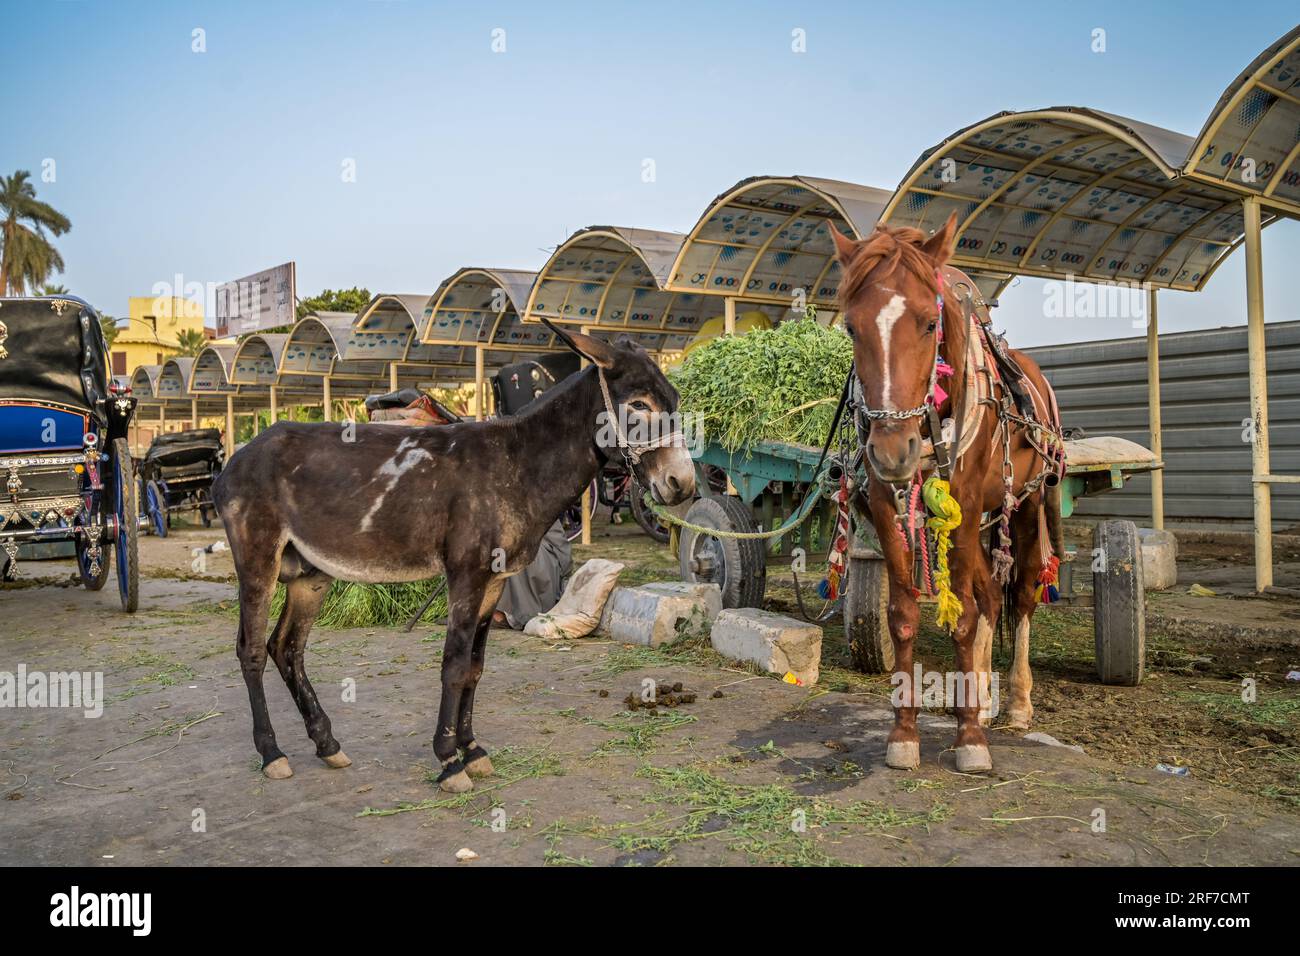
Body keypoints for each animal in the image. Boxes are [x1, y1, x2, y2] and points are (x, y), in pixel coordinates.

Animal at [212, 328, 696, 792]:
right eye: (639, 405)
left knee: (287, 647)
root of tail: (240, 455)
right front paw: (448, 761)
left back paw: (327, 743)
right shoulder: (466, 573)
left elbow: (475, 668)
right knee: (251, 649)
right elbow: (454, 665)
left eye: (673, 400)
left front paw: (472, 749)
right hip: (258, 559)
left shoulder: (495, 580)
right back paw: (272, 753)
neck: (517, 461)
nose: (683, 483)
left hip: (310, 573)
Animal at [830, 213, 1064, 773]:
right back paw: (979, 688)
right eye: (852, 327)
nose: (893, 449)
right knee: (988, 598)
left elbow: (963, 617)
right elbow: (904, 616)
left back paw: (1016, 702)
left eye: (929, 324)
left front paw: (971, 738)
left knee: (1021, 594)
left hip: (1025, 503)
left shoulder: (967, 500)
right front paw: (905, 733)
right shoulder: (886, 502)